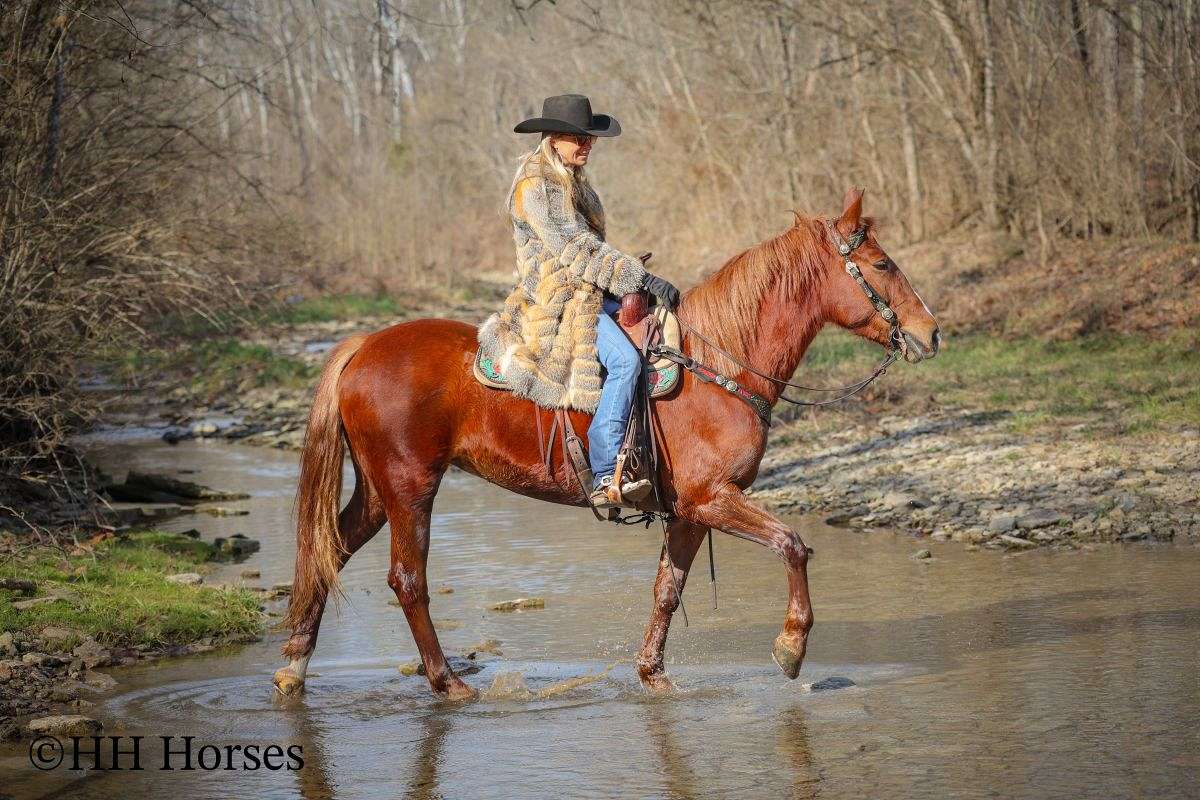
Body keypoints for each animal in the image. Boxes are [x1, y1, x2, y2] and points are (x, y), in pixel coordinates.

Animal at [273, 187, 940, 700]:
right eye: (883, 265)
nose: (931, 332)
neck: (719, 365)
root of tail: (364, 344)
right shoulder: (714, 498)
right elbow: (793, 545)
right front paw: (790, 647)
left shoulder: (690, 510)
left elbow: (668, 590)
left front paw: (652, 676)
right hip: (411, 486)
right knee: (408, 579)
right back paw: (446, 683)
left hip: (379, 490)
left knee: (328, 553)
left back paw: (293, 670)